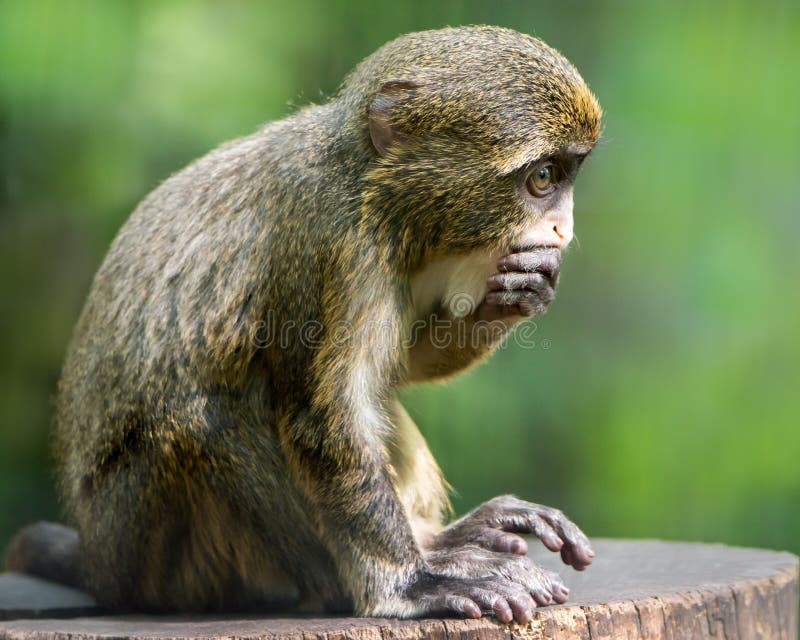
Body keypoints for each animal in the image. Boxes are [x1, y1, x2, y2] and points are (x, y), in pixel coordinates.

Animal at [4, 26, 601, 624]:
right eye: (542, 178)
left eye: (563, 176)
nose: (565, 231)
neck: (375, 195)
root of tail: (100, 566)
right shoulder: (327, 241)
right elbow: (325, 415)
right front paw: (411, 584)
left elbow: (399, 367)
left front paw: (515, 297)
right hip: (156, 552)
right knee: (206, 416)